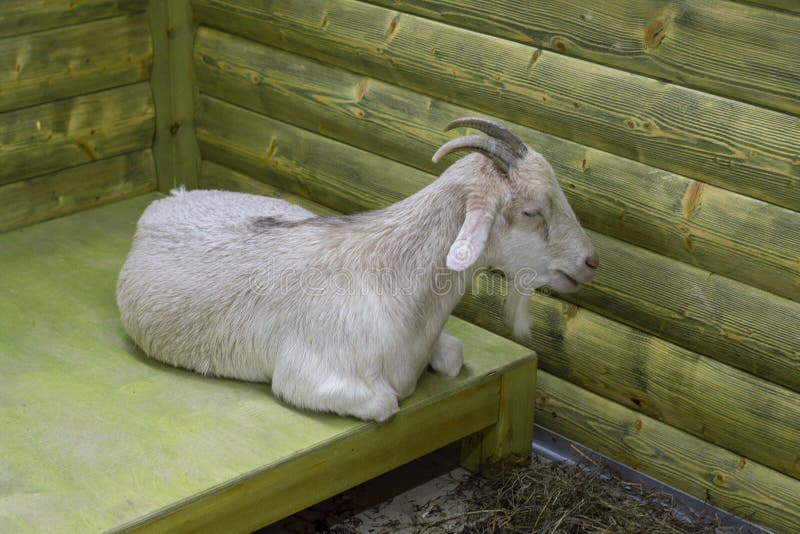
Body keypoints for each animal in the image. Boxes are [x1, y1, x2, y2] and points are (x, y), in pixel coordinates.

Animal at [116, 118, 598, 422]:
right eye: (532, 211)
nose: (590, 261)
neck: (393, 280)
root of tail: (167, 200)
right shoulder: (306, 377)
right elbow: (387, 402)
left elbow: (454, 357)